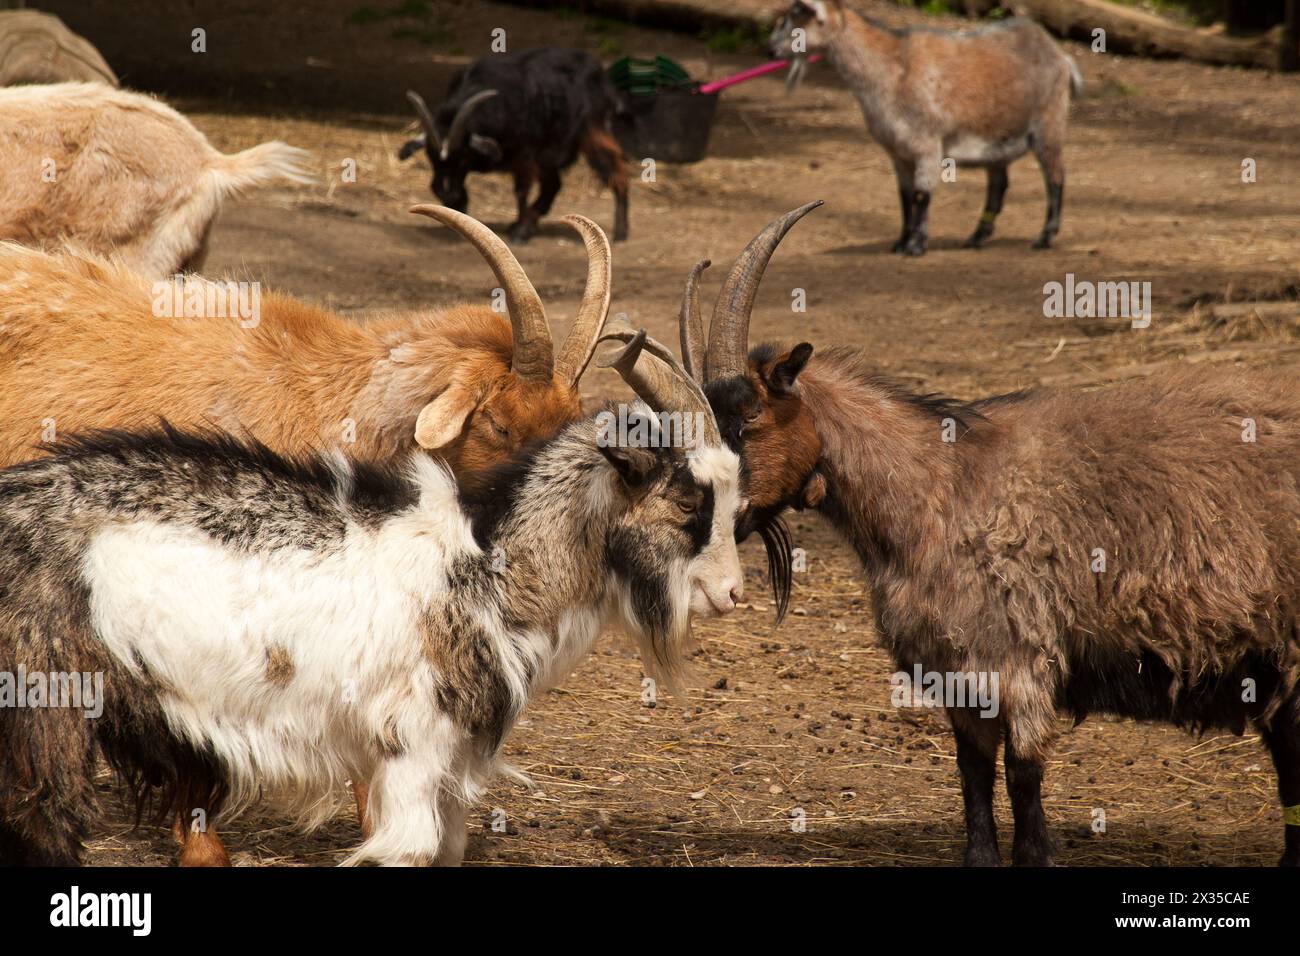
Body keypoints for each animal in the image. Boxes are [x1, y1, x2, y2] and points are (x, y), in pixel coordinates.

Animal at [0, 350, 743, 866]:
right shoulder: (412, 746)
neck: (491, 570)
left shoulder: (448, 773)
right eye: (688, 500)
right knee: (46, 818)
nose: (734, 592)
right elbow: (408, 848)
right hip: (46, 698)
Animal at [400, 47, 629, 243]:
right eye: (430, 157)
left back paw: (621, 231)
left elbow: (521, 190)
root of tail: (599, 71)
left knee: (616, 173)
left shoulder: (525, 152)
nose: (448, 194)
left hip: (592, 132)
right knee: (553, 185)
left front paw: (519, 231)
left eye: (463, 157)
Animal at [690, 292, 1300, 866]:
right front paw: (980, 856)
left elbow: (1022, 772)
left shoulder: (1019, 655)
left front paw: (1033, 855)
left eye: (748, 418)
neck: (937, 488)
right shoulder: (958, 665)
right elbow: (973, 769)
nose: (706, 515)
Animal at [769, 1, 1081, 255]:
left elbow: (922, 195)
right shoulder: (898, 152)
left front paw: (916, 246)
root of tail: (1059, 55)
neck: (892, 68)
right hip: (997, 139)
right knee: (999, 184)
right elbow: (905, 196)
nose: (770, 48)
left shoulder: (927, 145)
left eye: (801, 16)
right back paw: (977, 237)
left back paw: (1044, 237)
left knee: (1055, 177)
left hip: (1049, 122)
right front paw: (900, 243)